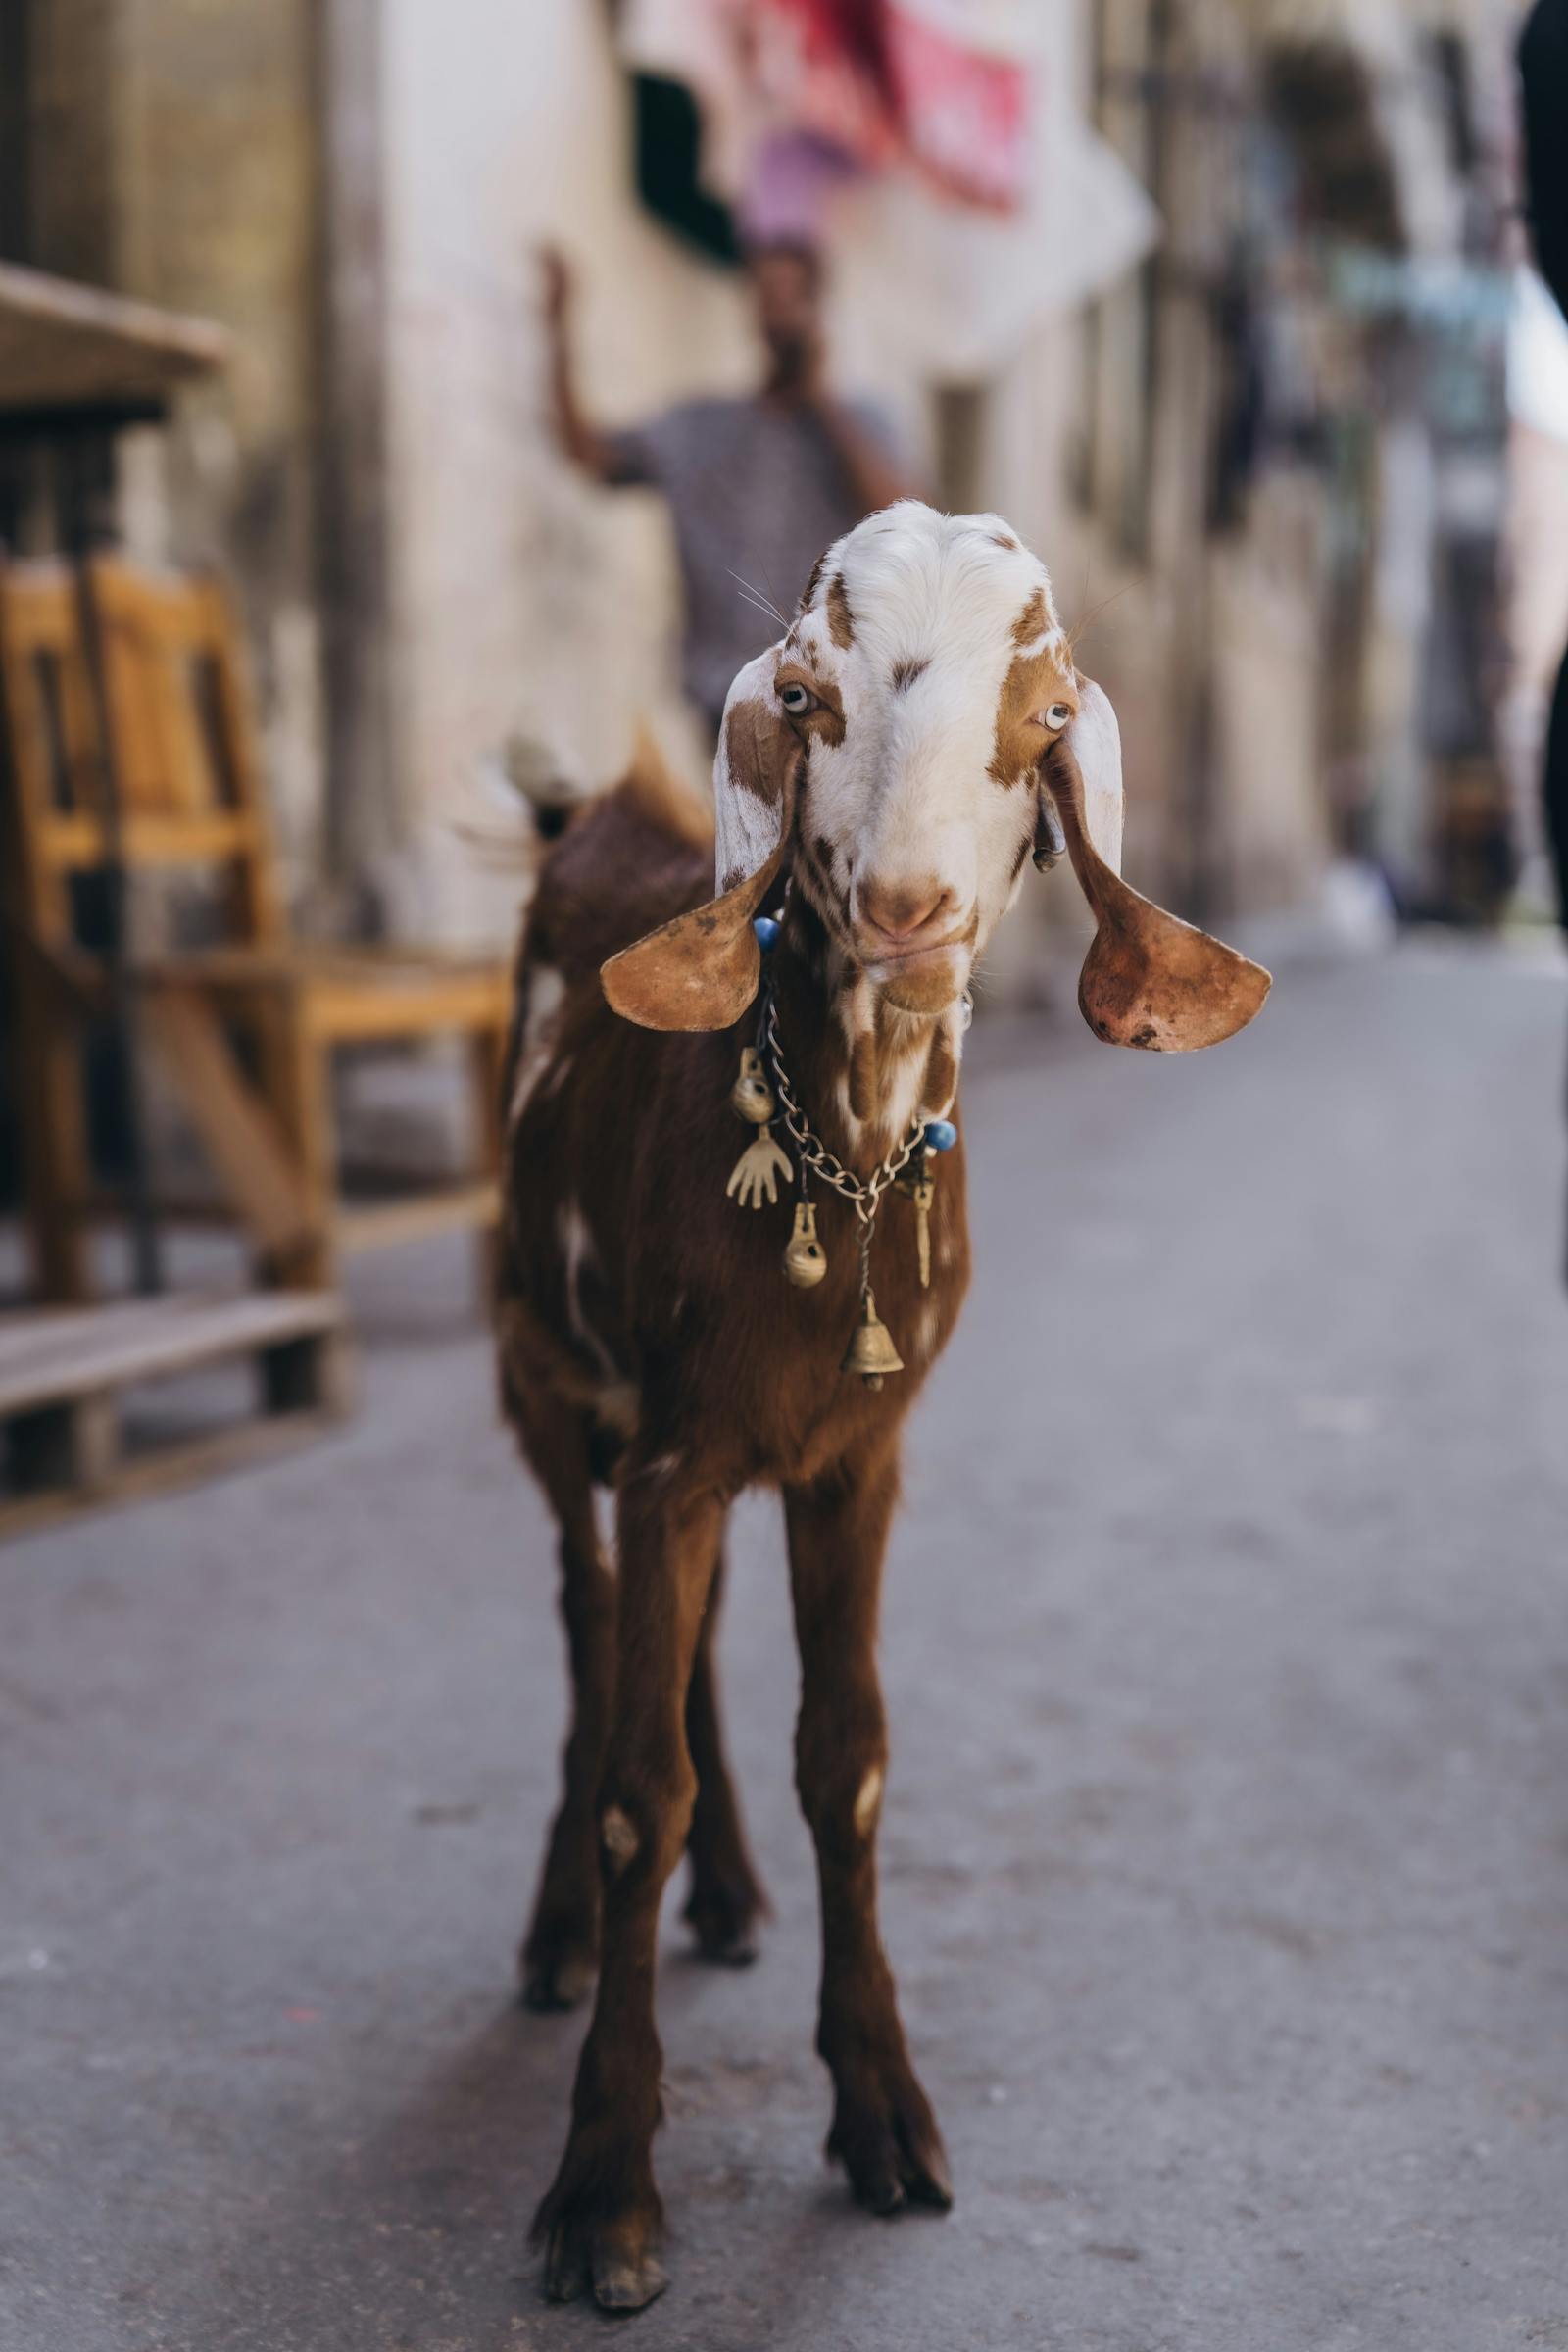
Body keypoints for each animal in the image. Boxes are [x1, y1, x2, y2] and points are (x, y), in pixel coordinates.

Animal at [496, 500, 1269, 2310]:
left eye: (1043, 714)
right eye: (807, 697)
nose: (912, 905)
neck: (835, 1143)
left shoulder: (855, 1459)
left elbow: (842, 1757)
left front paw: (885, 2119)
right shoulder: (667, 1452)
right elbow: (636, 1784)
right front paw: (604, 2193)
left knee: (679, 1640)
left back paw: (728, 1899)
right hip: (544, 1381)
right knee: (585, 1616)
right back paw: (560, 1932)